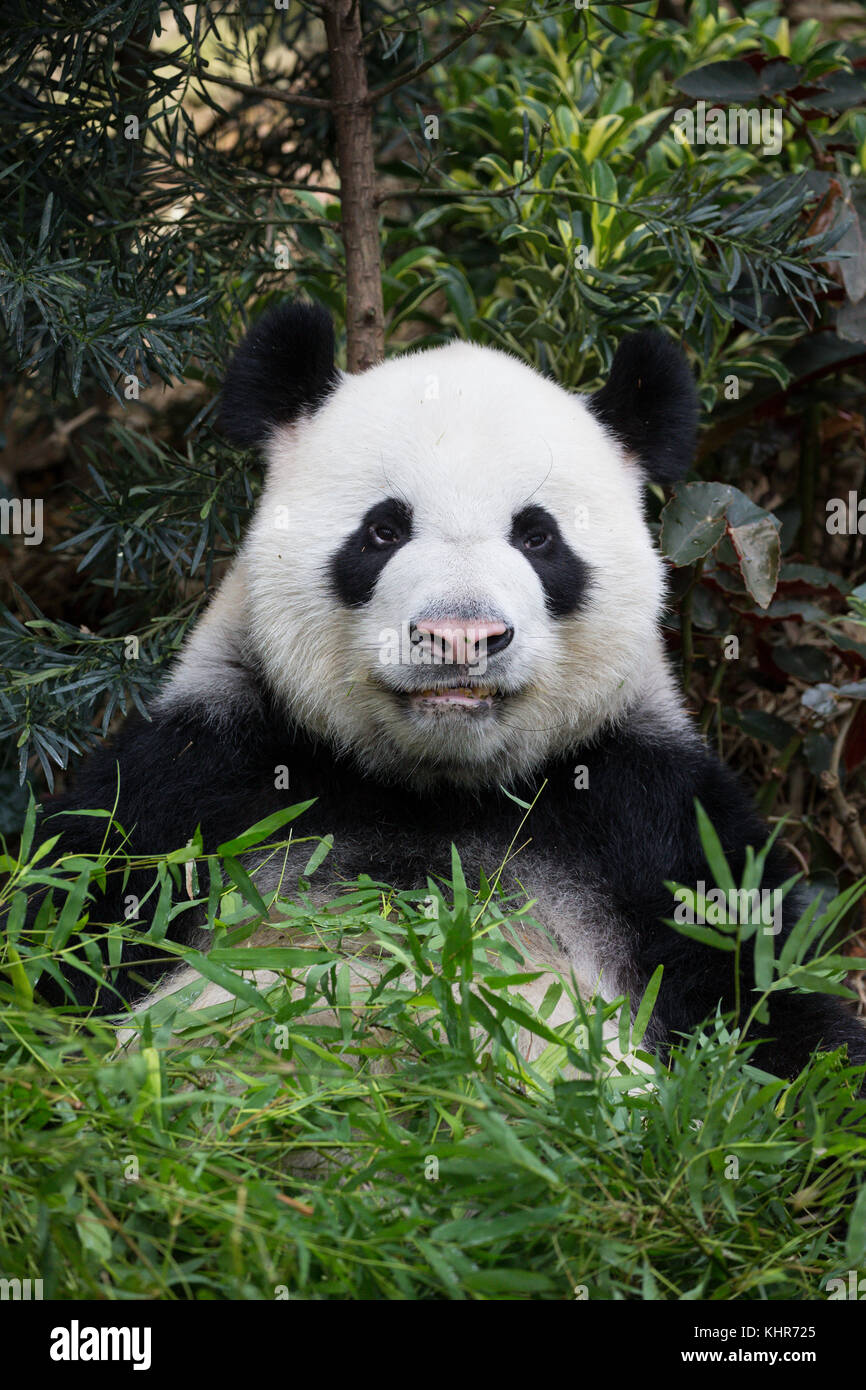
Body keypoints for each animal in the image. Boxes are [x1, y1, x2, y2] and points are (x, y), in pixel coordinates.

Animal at [23, 300, 866, 1081]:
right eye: (383, 530)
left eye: (538, 537)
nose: (460, 637)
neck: (437, 786)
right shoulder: (204, 779)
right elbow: (68, 921)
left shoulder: (644, 811)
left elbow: (762, 991)